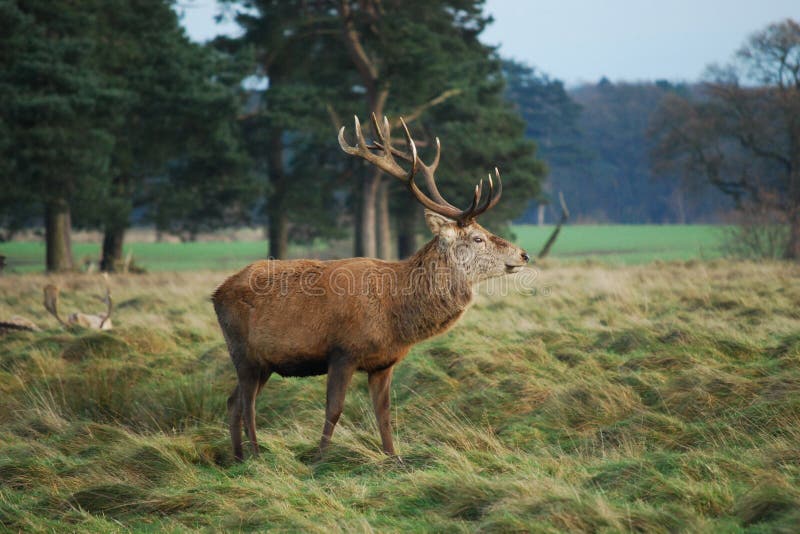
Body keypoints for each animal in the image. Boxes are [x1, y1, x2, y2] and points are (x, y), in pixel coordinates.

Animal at [213, 114, 563, 462]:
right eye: (477, 238)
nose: (523, 254)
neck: (395, 314)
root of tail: (217, 293)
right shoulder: (342, 352)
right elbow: (334, 410)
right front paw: (319, 460)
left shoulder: (384, 362)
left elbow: (384, 413)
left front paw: (394, 459)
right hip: (242, 352)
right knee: (248, 405)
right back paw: (256, 455)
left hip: (264, 362)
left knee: (232, 402)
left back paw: (239, 458)